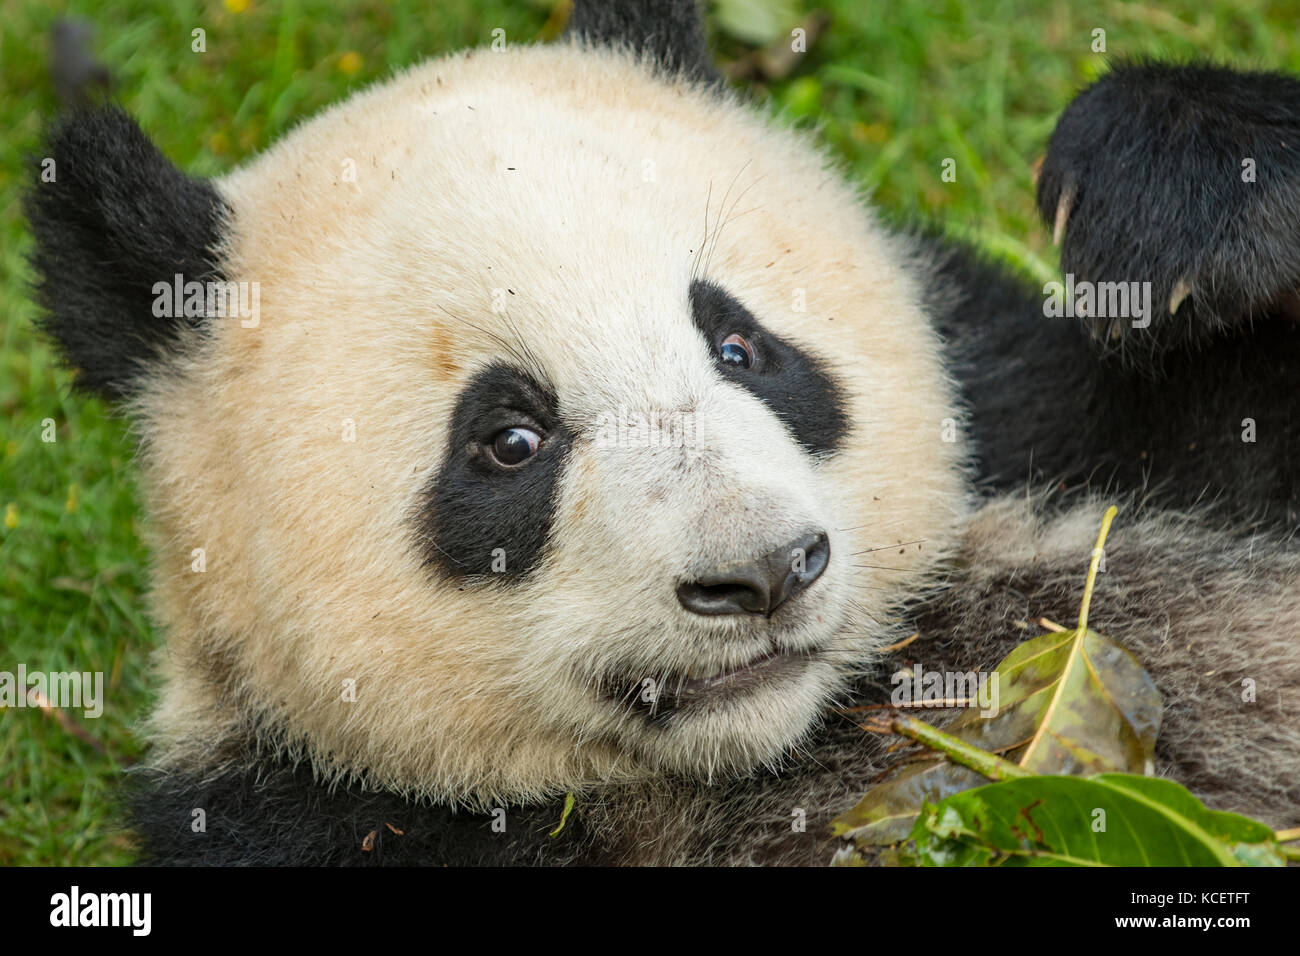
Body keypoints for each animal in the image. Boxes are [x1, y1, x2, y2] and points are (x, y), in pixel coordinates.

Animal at [23, 0, 1300, 865]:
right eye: (509, 439)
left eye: (739, 345)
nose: (765, 573)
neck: (779, 744)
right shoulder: (307, 812)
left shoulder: (1045, 422)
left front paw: (1180, 184)